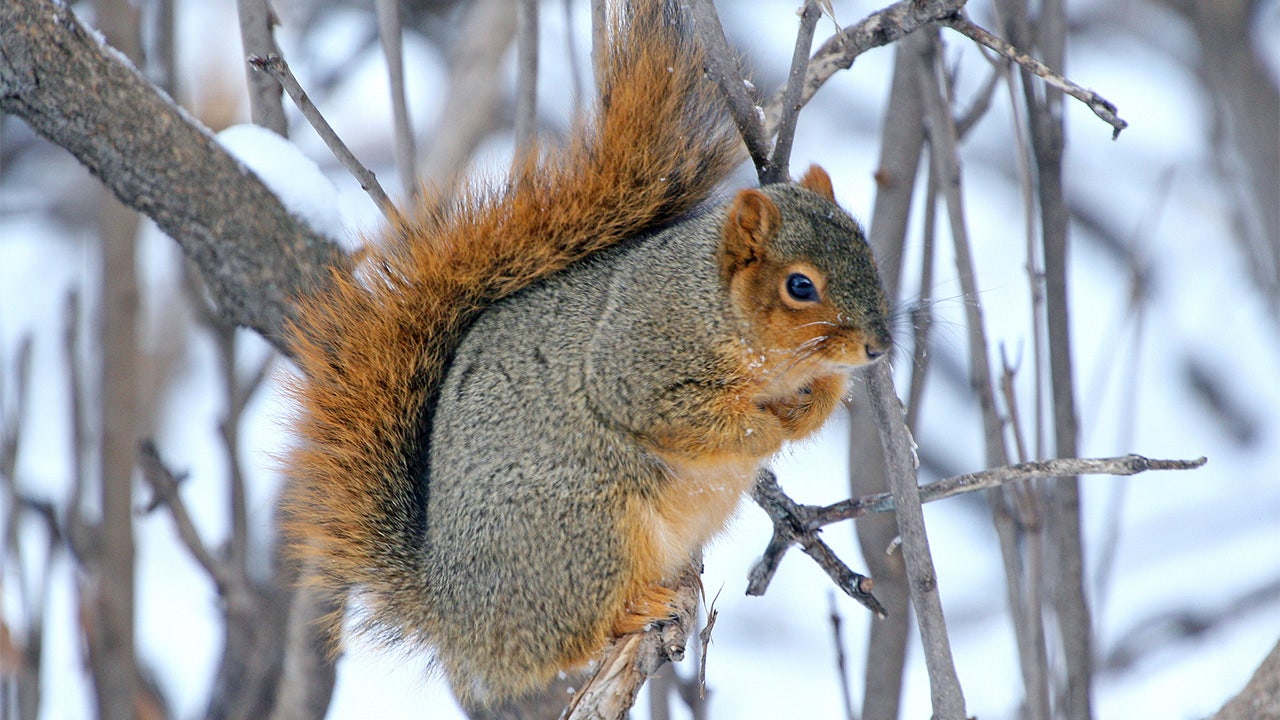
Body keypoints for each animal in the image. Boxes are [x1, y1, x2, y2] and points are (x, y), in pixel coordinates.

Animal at [283, 0, 891, 710]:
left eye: (867, 248)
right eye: (800, 286)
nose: (878, 346)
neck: (721, 310)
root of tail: (453, 614)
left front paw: (814, 406)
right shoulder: (638, 361)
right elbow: (688, 418)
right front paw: (768, 427)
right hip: (587, 528)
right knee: (567, 641)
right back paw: (632, 611)